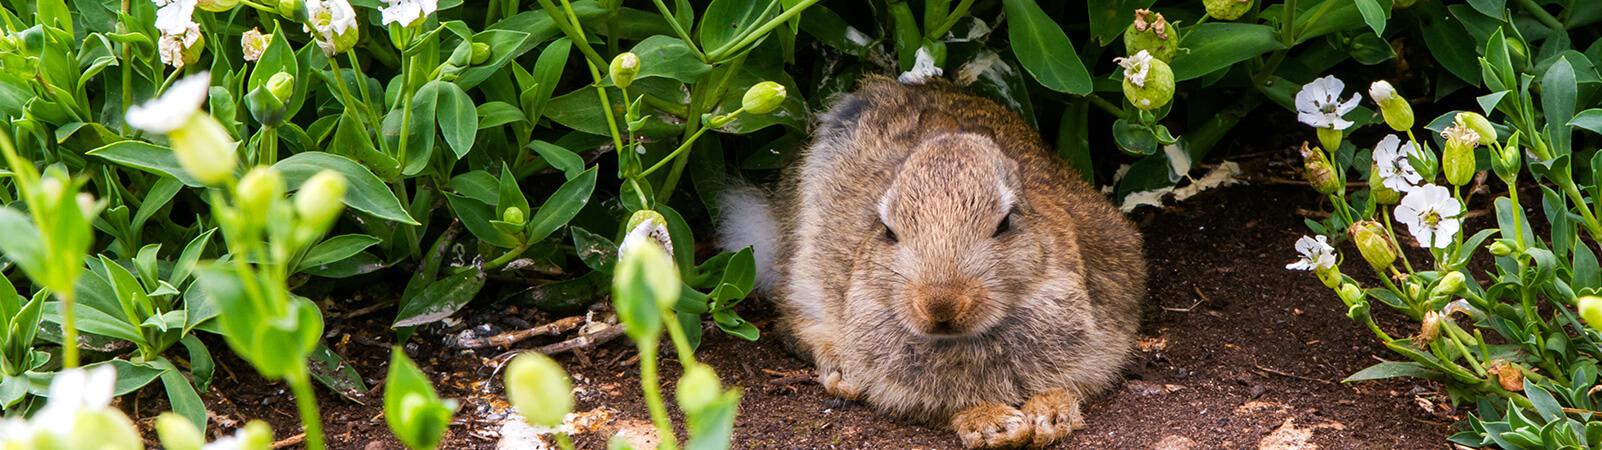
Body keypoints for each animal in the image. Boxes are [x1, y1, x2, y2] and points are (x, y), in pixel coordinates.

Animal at [719, 74, 1145, 448]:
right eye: (888, 231)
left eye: (1006, 223)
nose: (940, 304)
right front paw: (994, 426)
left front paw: (1050, 417)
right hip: (803, 263)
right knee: (792, 321)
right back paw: (843, 371)